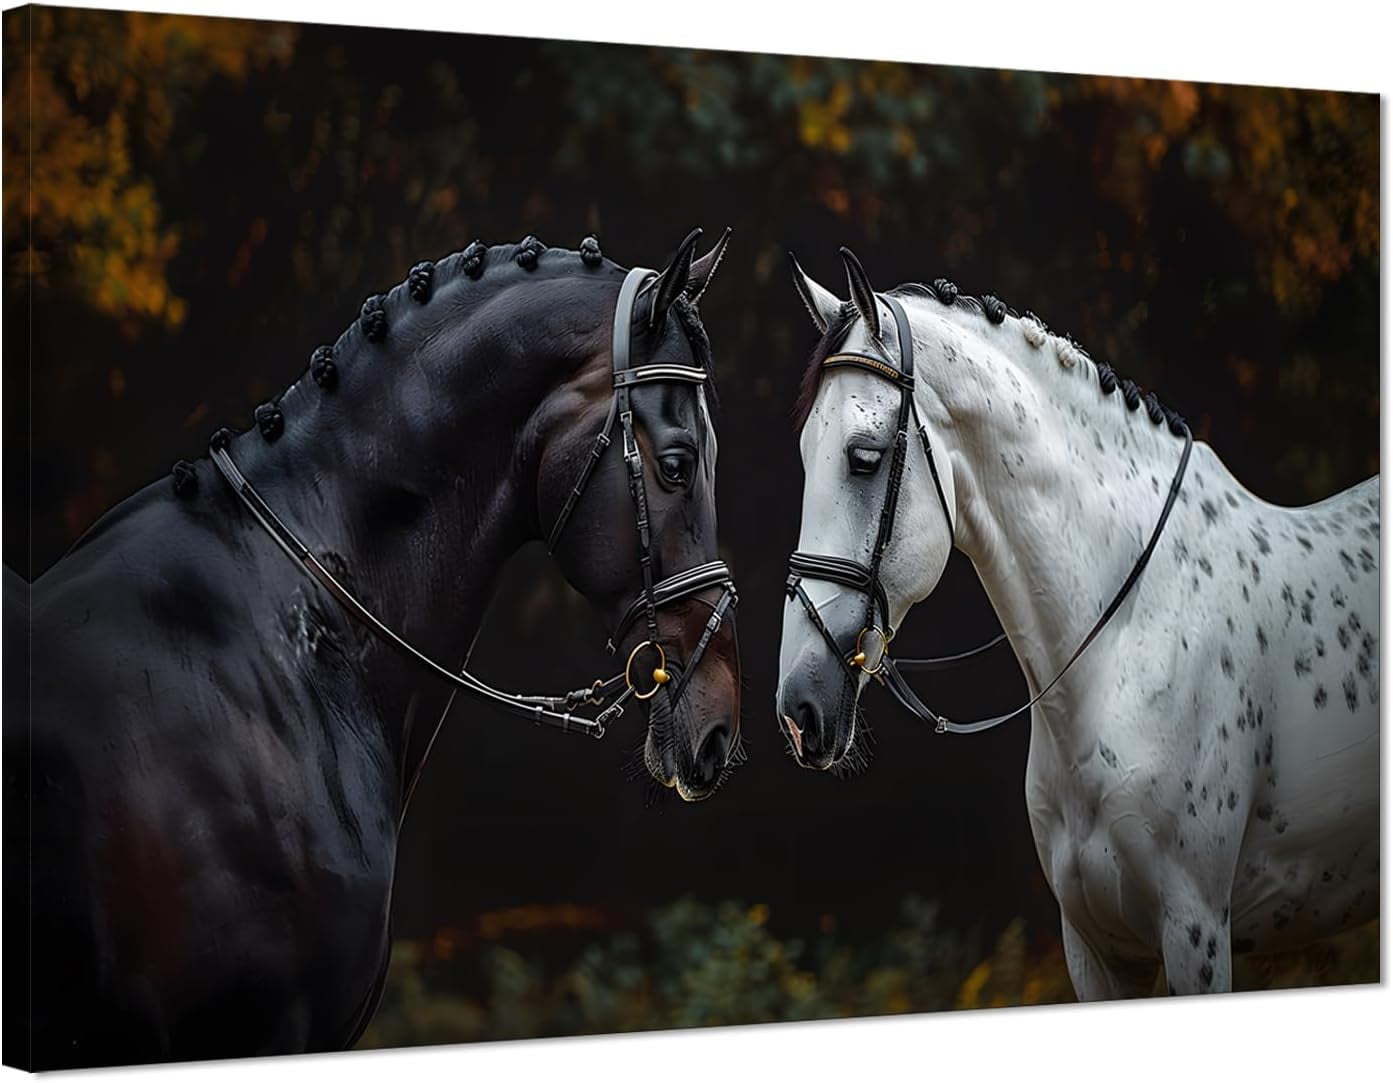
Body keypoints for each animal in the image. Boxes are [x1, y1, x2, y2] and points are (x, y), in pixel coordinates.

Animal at [775, 247, 1378, 1000]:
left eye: (862, 458)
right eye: (804, 453)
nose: (798, 709)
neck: (1120, 647)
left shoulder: (1196, 930)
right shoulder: (1093, 946)